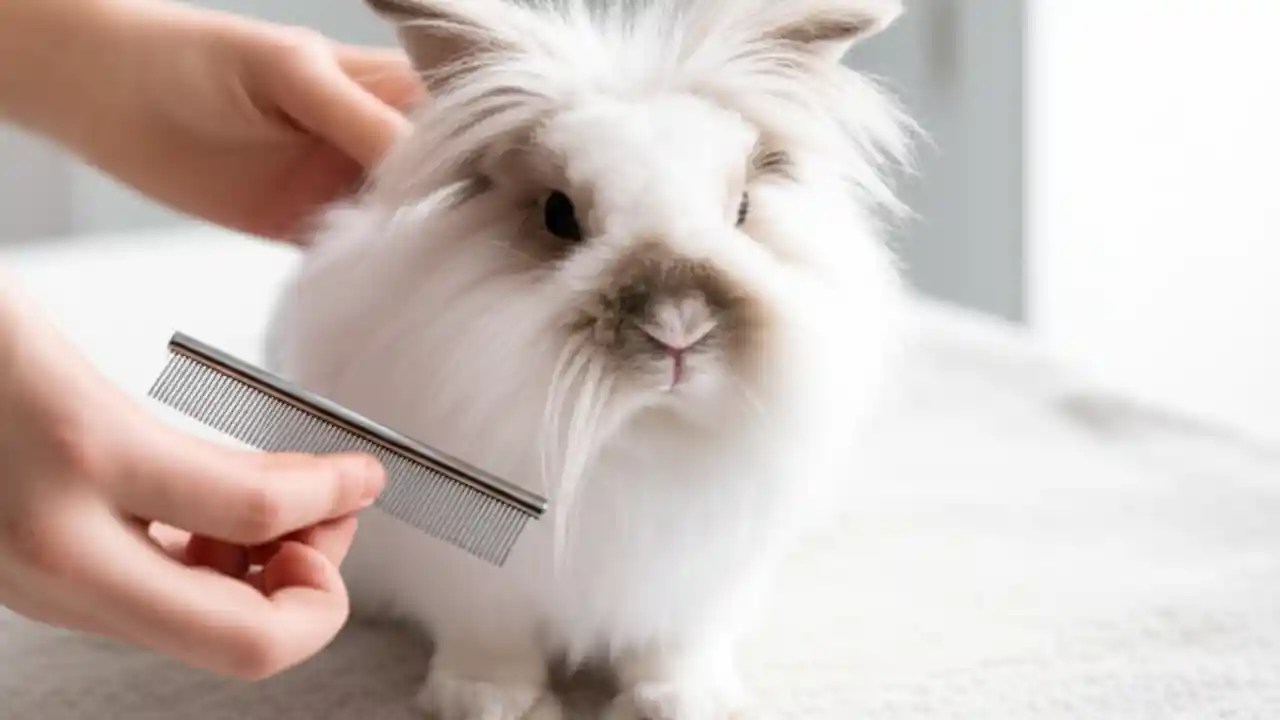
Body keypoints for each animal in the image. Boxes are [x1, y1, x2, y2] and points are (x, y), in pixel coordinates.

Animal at [266, 0, 913, 718]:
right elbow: (489, 636)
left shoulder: (695, 581)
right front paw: (490, 702)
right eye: (558, 214)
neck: (635, 430)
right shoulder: (475, 574)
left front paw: (679, 702)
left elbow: (672, 649)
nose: (678, 328)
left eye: (743, 209)